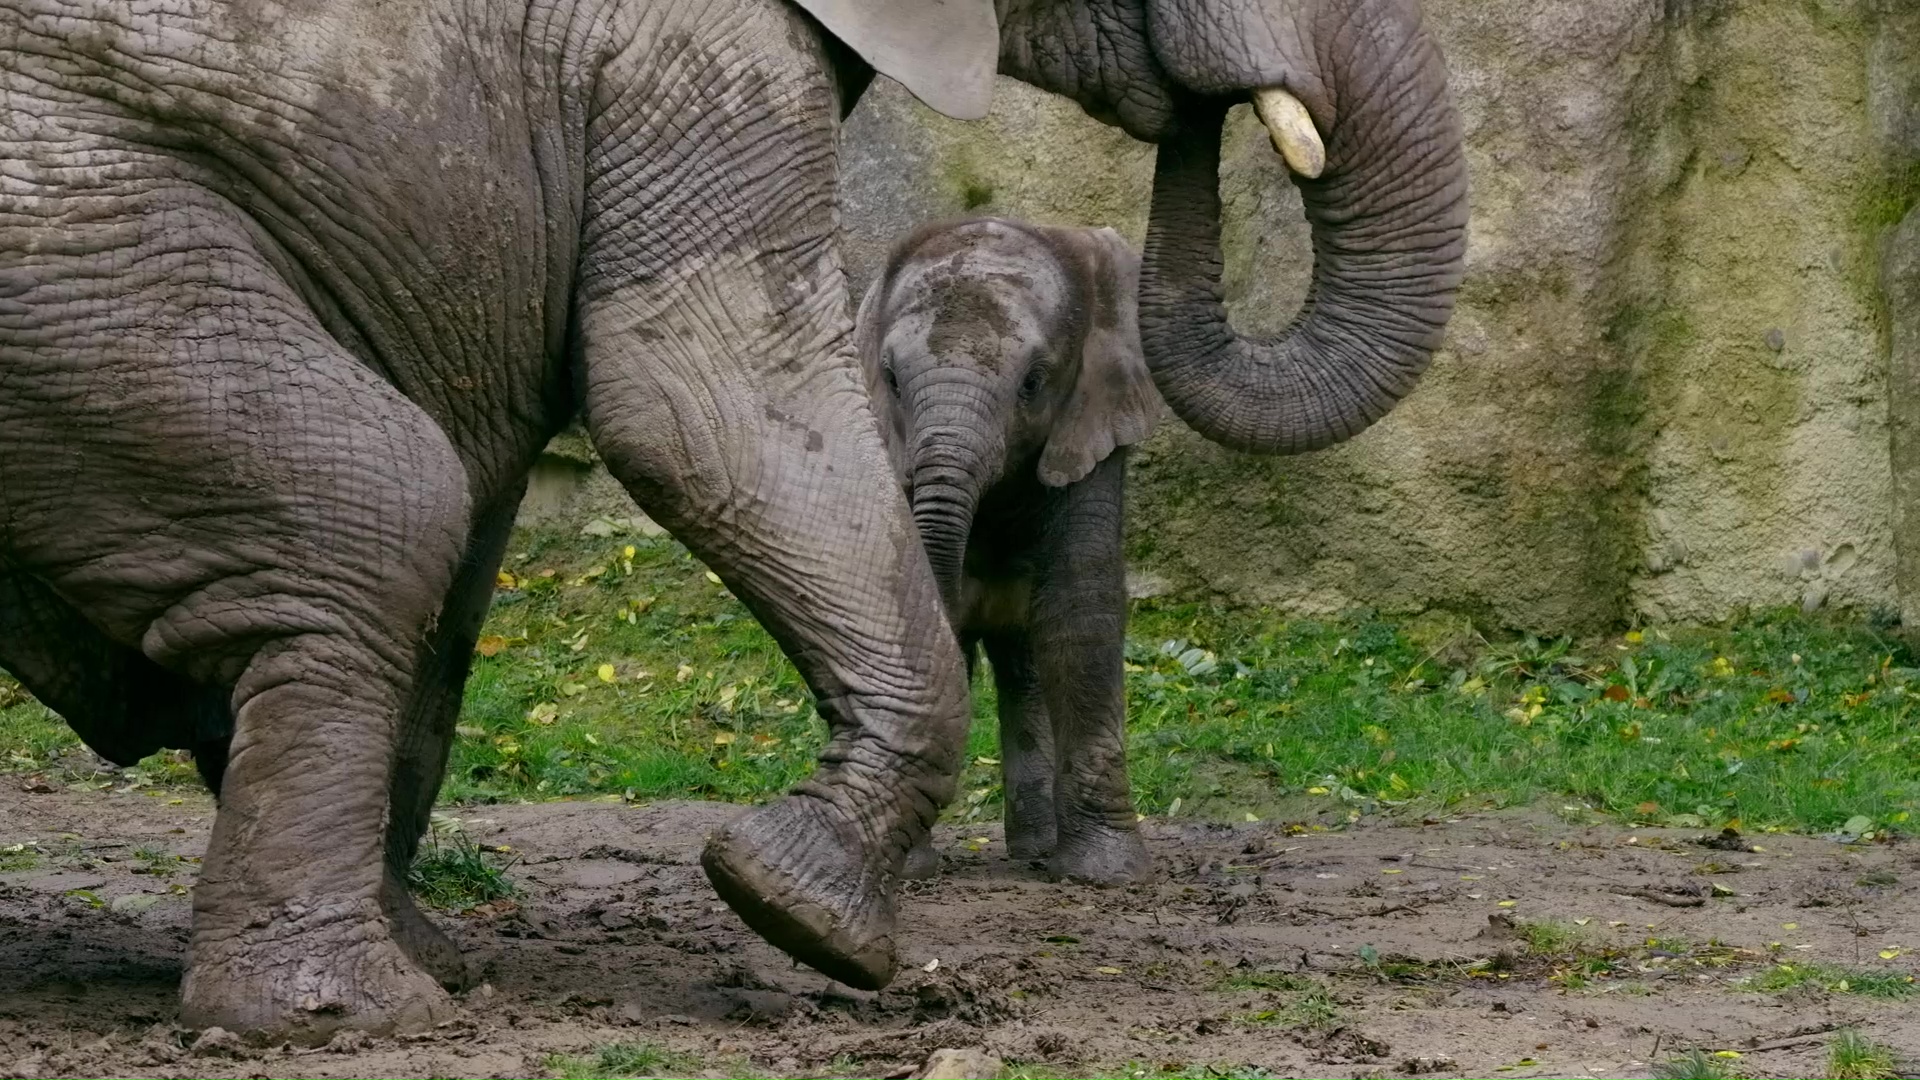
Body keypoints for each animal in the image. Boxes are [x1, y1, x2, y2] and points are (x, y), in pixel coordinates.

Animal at [855, 218, 1159, 886]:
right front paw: (904, 869)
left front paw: (1105, 874)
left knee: (1029, 660)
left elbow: (1078, 607)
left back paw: (1037, 853)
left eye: (1032, 383)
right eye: (891, 379)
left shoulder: (1091, 422)